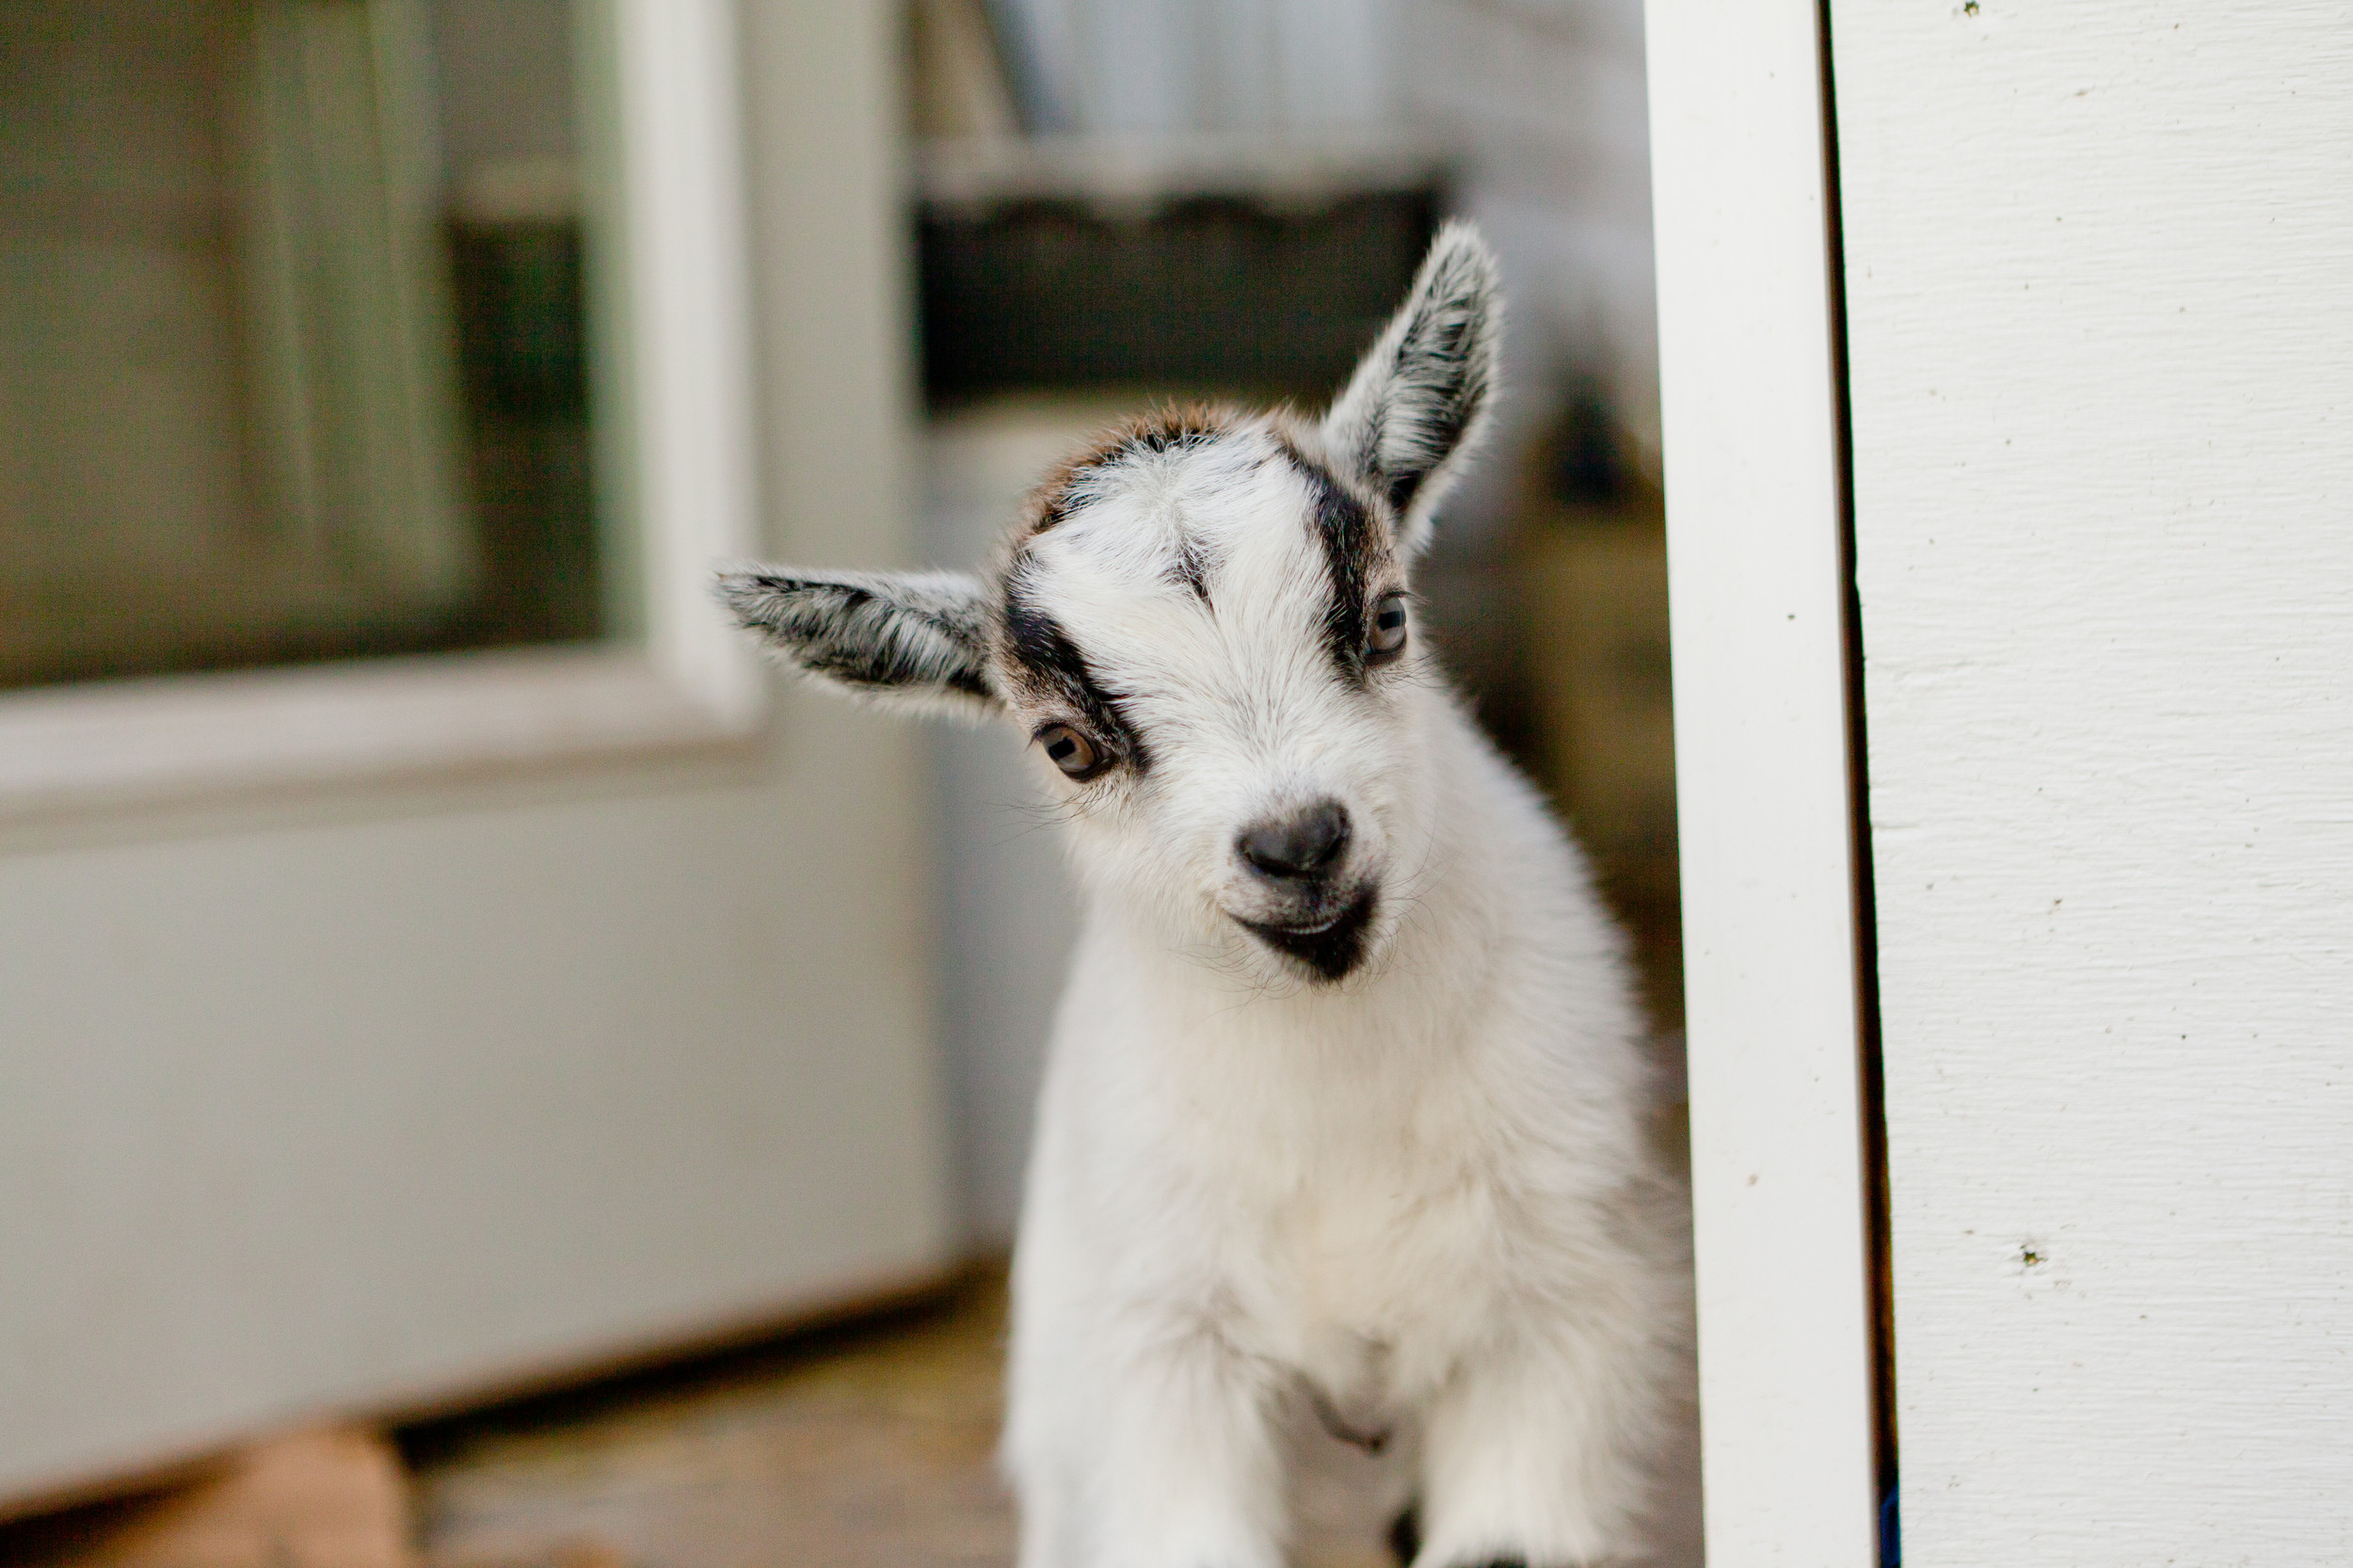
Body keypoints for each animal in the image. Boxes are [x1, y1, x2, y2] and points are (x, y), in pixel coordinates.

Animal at [718, 223, 1689, 1568]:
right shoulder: (1159, 1352)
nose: (1298, 844)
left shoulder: (1551, 1315)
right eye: (1067, 744)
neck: (1337, 1093)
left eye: (1387, 619)